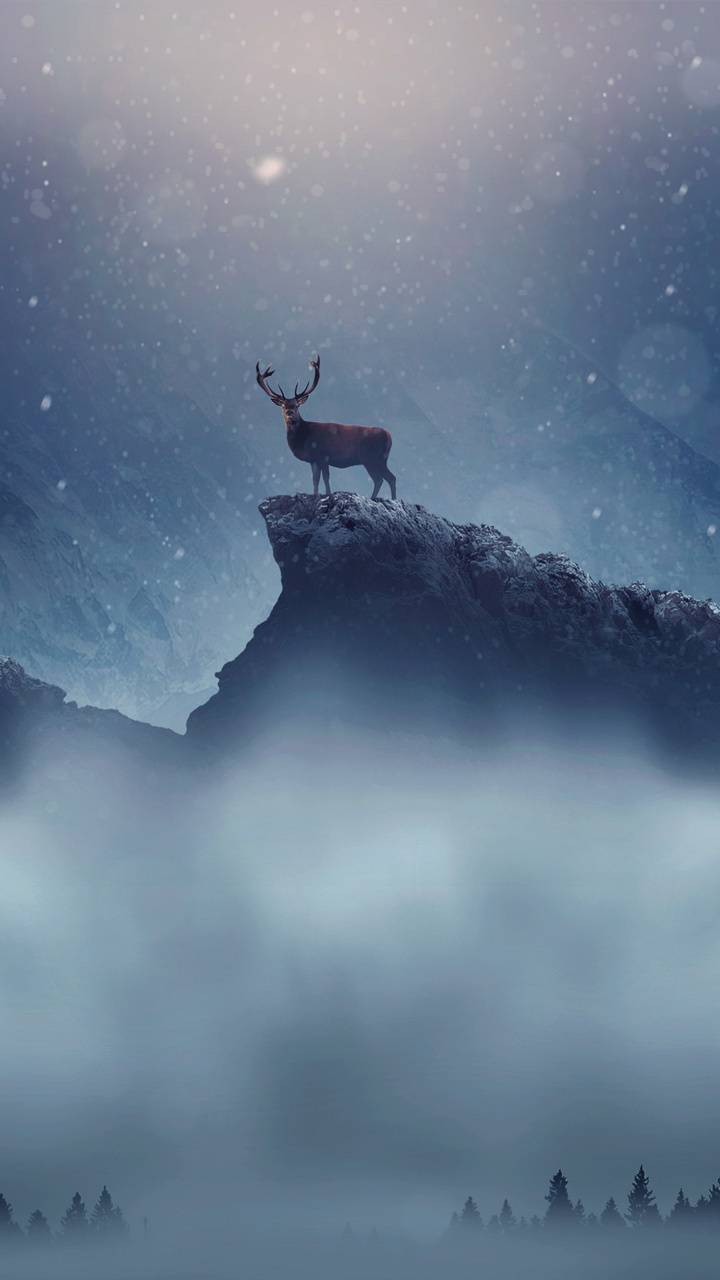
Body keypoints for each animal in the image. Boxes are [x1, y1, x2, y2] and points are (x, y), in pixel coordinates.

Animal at [255, 354, 397, 500]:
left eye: (297, 405)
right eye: (283, 406)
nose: (290, 412)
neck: (303, 439)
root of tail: (389, 436)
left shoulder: (323, 456)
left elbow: (325, 478)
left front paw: (328, 494)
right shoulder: (313, 460)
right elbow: (315, 479)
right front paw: (315, 494)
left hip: (371, 458)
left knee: (384, 478)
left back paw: (385, 498)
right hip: (380, 459)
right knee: (386, 478)